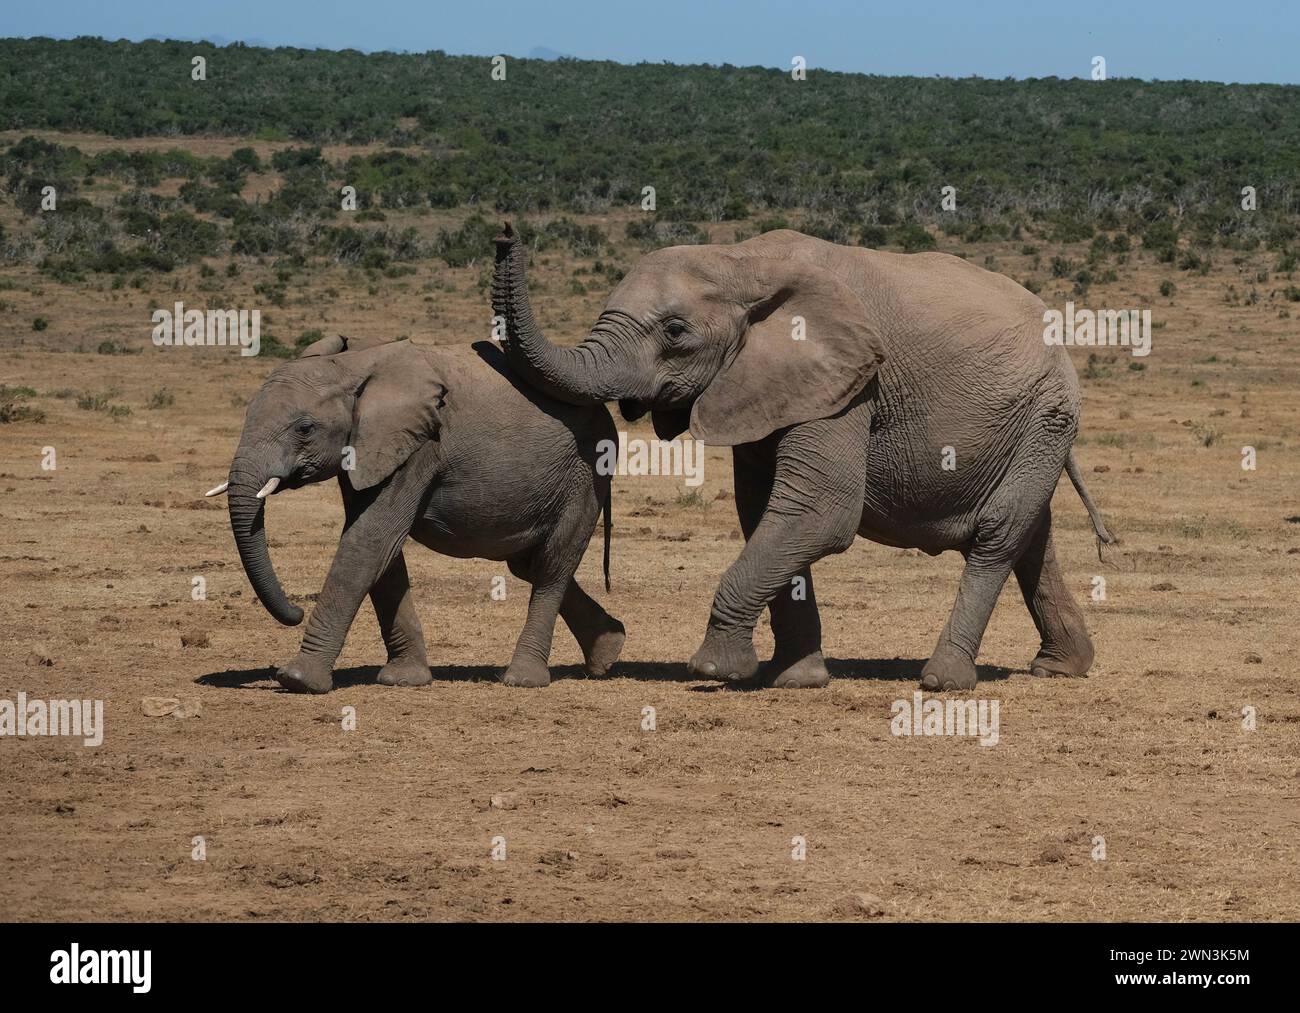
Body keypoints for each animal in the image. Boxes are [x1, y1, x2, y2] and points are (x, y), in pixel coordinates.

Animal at [206, 333, 626, 693]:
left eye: (305, 428)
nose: (294, 610)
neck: (353, 366)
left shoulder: (419, 446)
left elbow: (370, 541)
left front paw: (298, 680)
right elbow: (383, 551)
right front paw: (403, 680)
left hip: (585, 474)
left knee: (554, 564)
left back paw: (523, 679)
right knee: (530, 564)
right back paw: (608, 653)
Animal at [490, 224, 1113, 692]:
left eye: (675, 330)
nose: (504, 233)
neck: (742, 262)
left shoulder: (852, 383)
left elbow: (819, 514)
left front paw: (717, 669)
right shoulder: (763, 384)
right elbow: (763, 513)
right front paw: (797, 678)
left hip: (1048, 412)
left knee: (998, 533)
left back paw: (944, 680)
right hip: (1033, 423)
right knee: (1031, 537)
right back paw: (1060, 668)